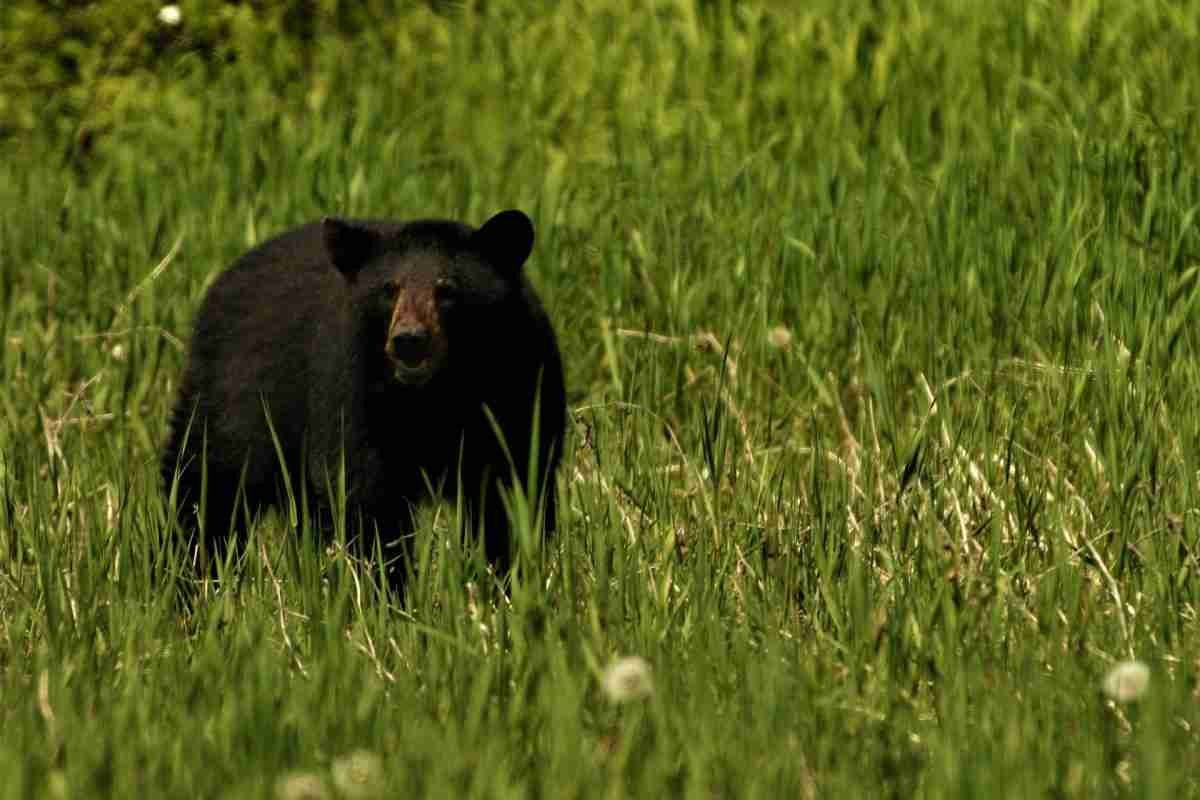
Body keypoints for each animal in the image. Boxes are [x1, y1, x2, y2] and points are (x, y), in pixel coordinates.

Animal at [160, 209, 565, 590]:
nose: (408, 340)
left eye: (447, 289)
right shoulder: (354, 392)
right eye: (390, 289)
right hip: (233, 398)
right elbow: (365, 498)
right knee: (205, 488)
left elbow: (511, 491)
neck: (432, 397)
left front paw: (506, 582)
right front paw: (386, 593)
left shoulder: (519, 389)